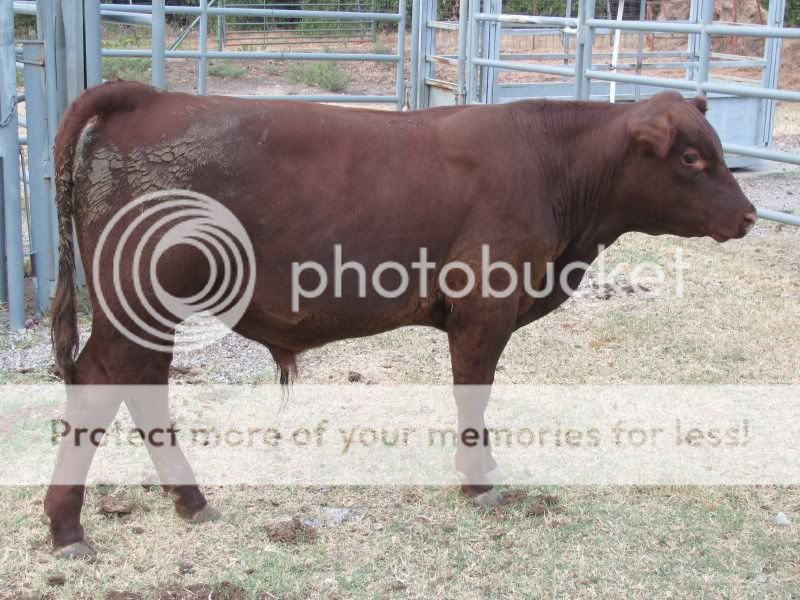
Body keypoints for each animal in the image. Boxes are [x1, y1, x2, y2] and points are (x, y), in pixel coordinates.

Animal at [46, 81, 756, 558]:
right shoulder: (484, 306)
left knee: (137, 386)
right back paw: (70, 527)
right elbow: (473, 393)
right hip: (137, 304)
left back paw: (185, 502)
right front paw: (478, 483)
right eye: (690, 158)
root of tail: (151, 95)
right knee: (104, 385)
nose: (748, 216)